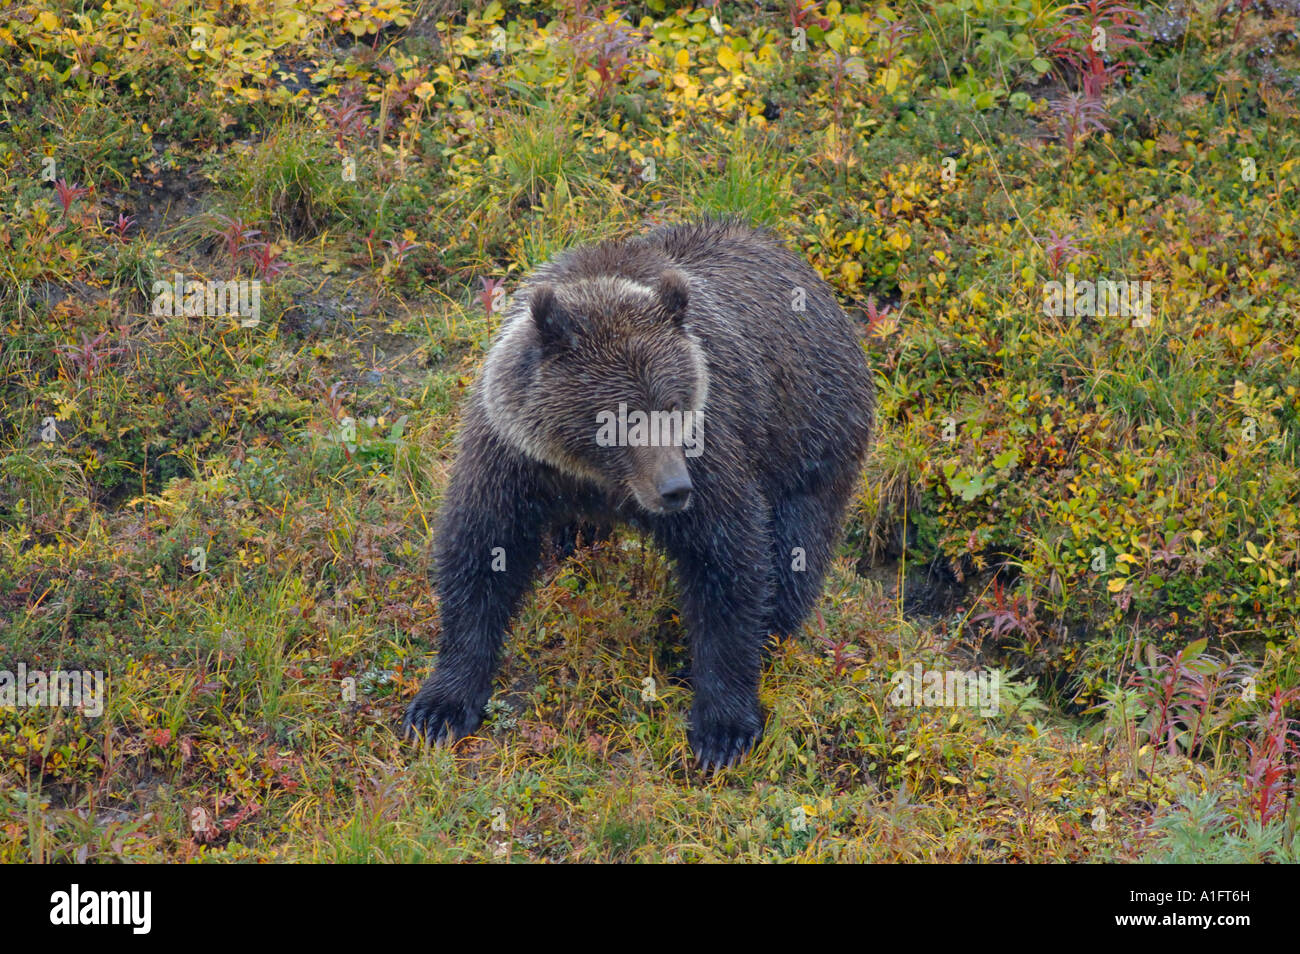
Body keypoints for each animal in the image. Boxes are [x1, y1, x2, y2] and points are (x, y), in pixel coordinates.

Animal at [402, 217, 875, 769]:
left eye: (672, 407)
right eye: (619, 418)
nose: (674, 489)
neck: (592, 476)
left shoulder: (712, 446)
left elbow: (729, 564)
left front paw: (723, 728)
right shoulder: (510, 455)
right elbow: (481, 553)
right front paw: (440, 708)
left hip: (810, 435)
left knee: (799, 542)